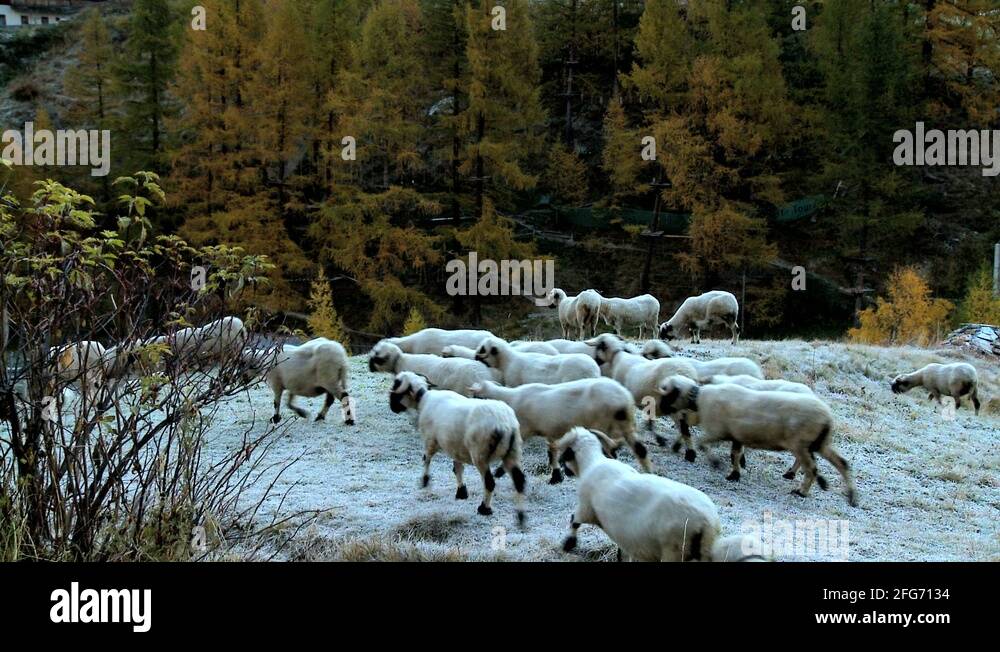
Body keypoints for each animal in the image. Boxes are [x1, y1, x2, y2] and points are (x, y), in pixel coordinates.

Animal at [389, 371, 526, 524]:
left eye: (396, 387)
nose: (392, 407)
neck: (424, 399)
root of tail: (504, 424)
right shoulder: (455, 447)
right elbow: (457, 469)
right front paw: (461, 492)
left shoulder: (430, 441)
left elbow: (426, 459)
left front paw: (424, 481)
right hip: (513, 452)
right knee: (519, 481)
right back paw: (521, 518)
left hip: (480, 454)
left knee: (489, 482)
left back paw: (484, 509)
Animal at [468, 377, 650, 482]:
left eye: (476, 397)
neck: (509, 399)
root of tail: (624, 399)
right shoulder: (551, 432)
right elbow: (552, 451)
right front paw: (556, 475)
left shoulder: (524, 431)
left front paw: (499, 471)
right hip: (626, 426)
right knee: (639, 449)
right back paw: (648, 471)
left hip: (604, 425)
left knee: (611, 450)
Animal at [556, 427, 721, 561]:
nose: (564, 471)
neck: (592, 463)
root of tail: (707, 522)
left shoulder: (586, 508)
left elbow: (574, 520)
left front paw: (568, 544)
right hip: (704, 552)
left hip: (673, 550)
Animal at [658, 374, 858, 506]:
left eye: (667, 392)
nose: (660, 408)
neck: (699, 399)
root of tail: (827, 419)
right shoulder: (736, 436)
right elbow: (735, 454)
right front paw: (734, 474)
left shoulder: (718, 431)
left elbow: (702, 443)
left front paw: (716, 464)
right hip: (820, 443)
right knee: (842, 463)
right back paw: (850, 496)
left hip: (800, 443)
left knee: (812, 468)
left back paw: (801, 490)